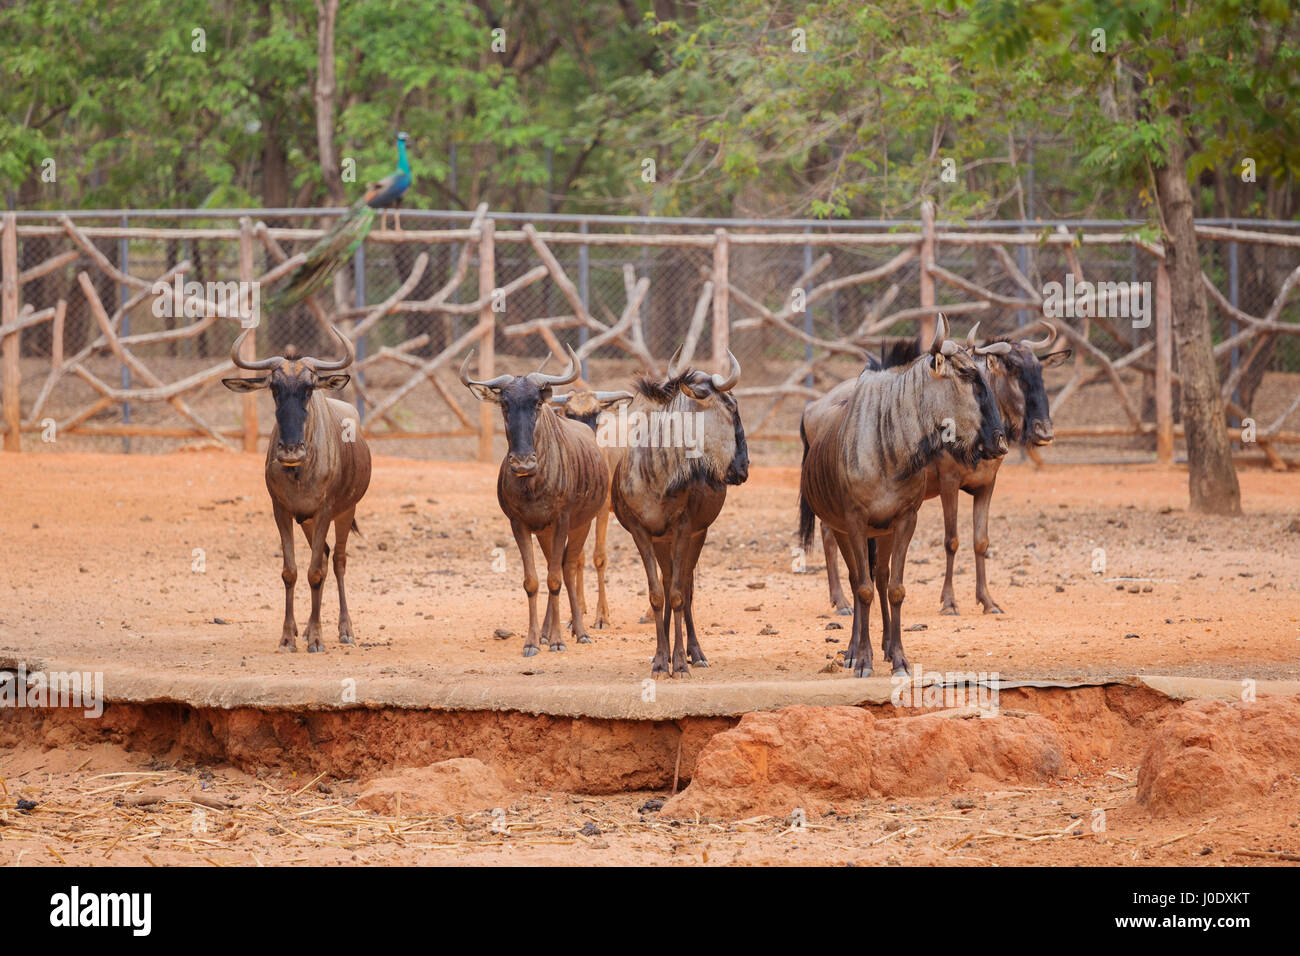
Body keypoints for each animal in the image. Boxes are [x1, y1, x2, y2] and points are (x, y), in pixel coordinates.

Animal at [221, 325, 370, 653]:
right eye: (274, 388)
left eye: (309, 388)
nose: (291, 450)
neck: (300, 472)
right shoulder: (283, 511)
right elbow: (290, 571)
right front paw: (290, 636)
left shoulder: (326, 510)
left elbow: (315, 572)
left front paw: (316, 639)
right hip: (308, 522)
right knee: (324, 555)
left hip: (345, 512)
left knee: (337, 561)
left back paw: (345, 630)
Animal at [461, 345, 609, 657]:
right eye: (505, 404)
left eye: (537, 404)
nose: (523, 463)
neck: (532, 484)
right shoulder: (520, 524)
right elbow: (532, 581)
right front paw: (532, 641)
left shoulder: (563, 520)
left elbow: (555, 578)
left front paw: (558, 640)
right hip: (546, 533)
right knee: (559, 567)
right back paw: (545, 632)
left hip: (583, 524)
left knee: (568, 567)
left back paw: (579, 632)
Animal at [611, 347, 748, 678]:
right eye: (732, 407)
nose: (744, 468)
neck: (658, 474)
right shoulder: (642, 534)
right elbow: (657, 594)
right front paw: (662, 661)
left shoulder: (686, 530)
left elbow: (677, 594)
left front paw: (680, 661)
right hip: (663, 542)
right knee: (668, 582)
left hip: (698, 535)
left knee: (686, 588)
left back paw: (694, 653)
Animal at [799, 316, 1007, 676]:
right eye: (967, 375)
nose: (1000, 442)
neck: (889, 444)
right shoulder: (855, 522)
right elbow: (863, 588)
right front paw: (862, 659)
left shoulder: (905, 519)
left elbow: (895, 588)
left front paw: (898, 658)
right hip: (840, 529)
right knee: (856, 580)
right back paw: (853, 650)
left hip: (882, 532)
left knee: (880, 578)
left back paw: (883, 645)